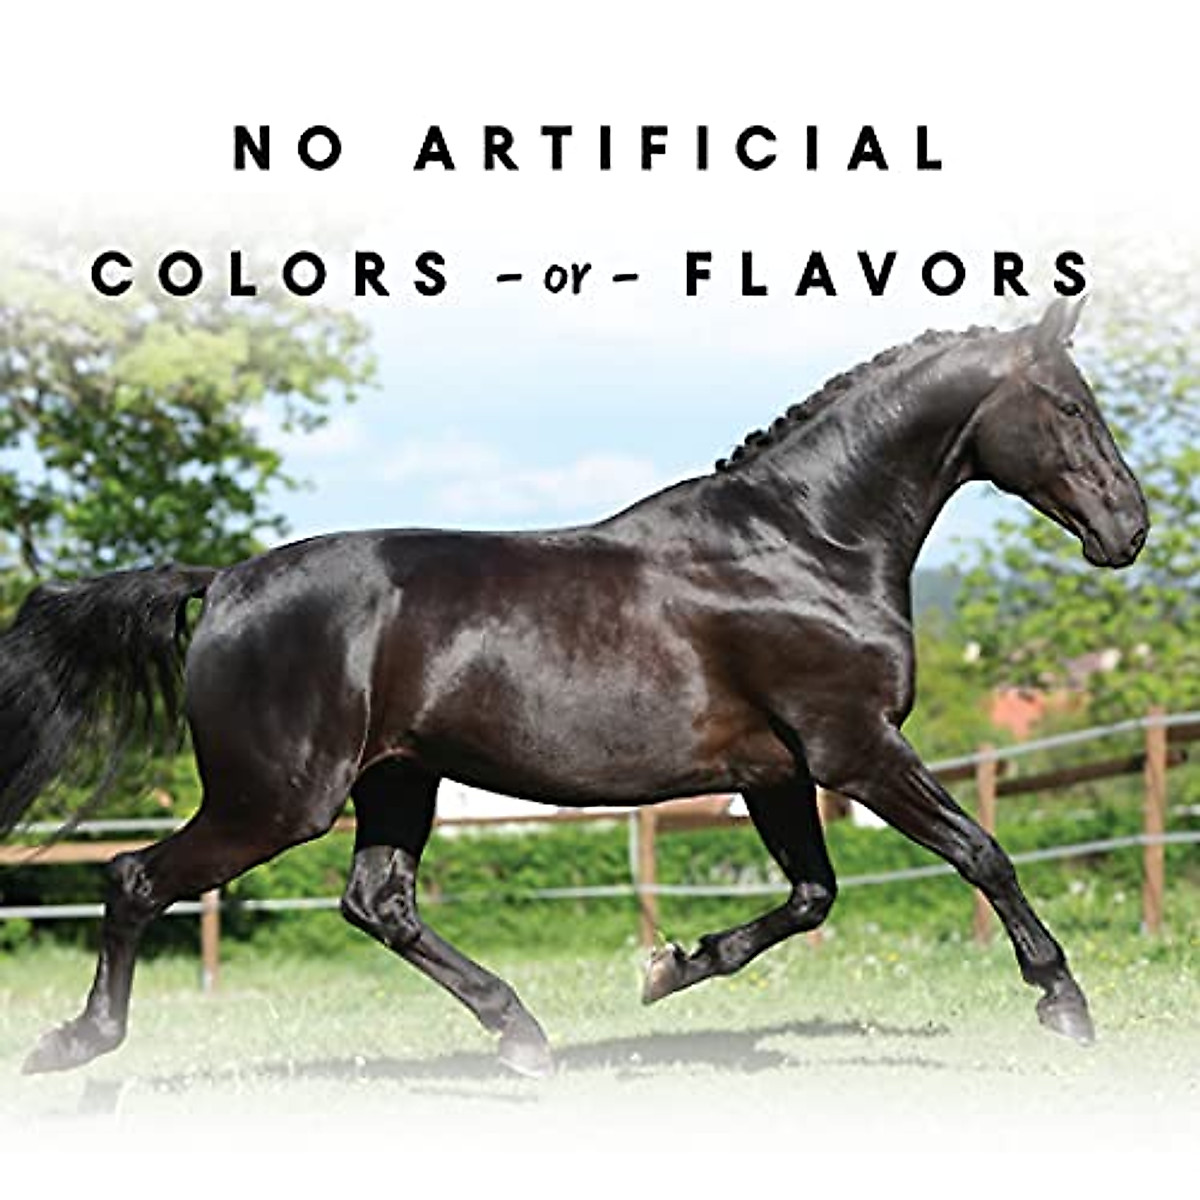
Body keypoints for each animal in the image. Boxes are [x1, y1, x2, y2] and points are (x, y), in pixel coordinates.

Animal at [0, 298, 1148, 1077]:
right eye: (1069, 403)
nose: (1128, 529)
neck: (805, 544)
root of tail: (224, 579)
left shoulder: (777, 772)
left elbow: (811, 897)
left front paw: (671, 965)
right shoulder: (854, 747)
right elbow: (981, 852)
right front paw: (1065, 1002)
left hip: (396, 781)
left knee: (378, 903)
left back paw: (523, 1036)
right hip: (277, 799)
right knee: (136, 880)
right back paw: (76, 1044)